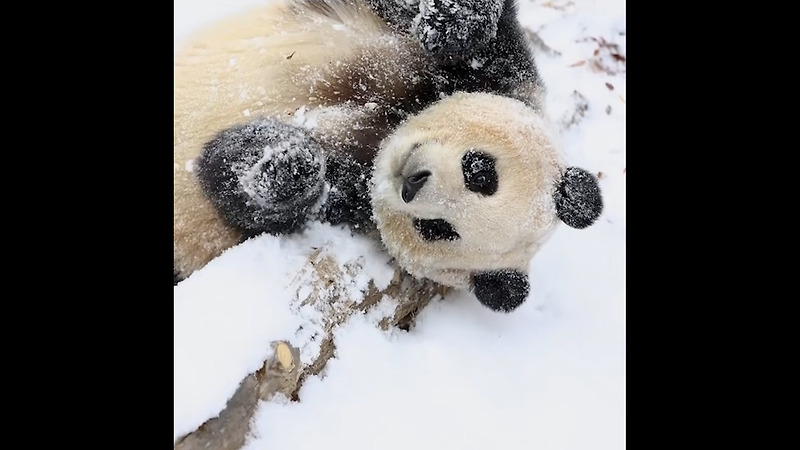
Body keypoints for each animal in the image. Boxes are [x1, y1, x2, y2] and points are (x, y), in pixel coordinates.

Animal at [174, 0, 603, 312]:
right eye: (480, 172)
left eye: (436, 228)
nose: (413, 181)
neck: (392, 125)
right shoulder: (498, 74)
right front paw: (452, 23)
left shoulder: (350, 204)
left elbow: (241, 189)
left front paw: (288, 168)